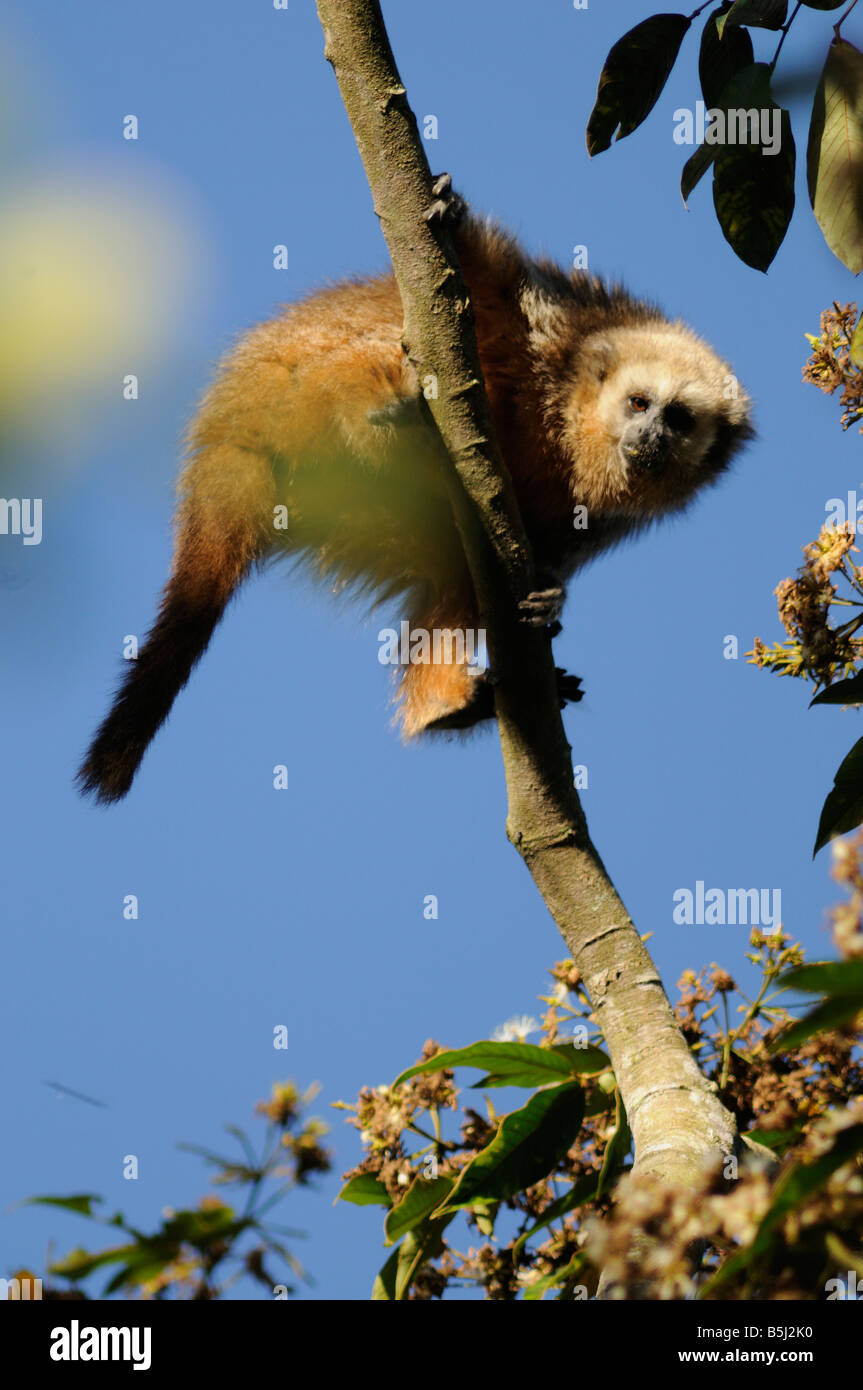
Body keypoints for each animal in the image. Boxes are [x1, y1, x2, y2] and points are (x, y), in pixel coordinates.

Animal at [77, 187, 752, 803]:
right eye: (640, 403)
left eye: (679, 420)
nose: (651, 435)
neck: (569, 422)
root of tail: (228, 423)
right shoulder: (554, 325)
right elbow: (478, 296)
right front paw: (453, 224)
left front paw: (549, 599)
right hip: (297, 391)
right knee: (397, 355)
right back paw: (403, 421)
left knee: (461, 572)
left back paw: (451, 709)